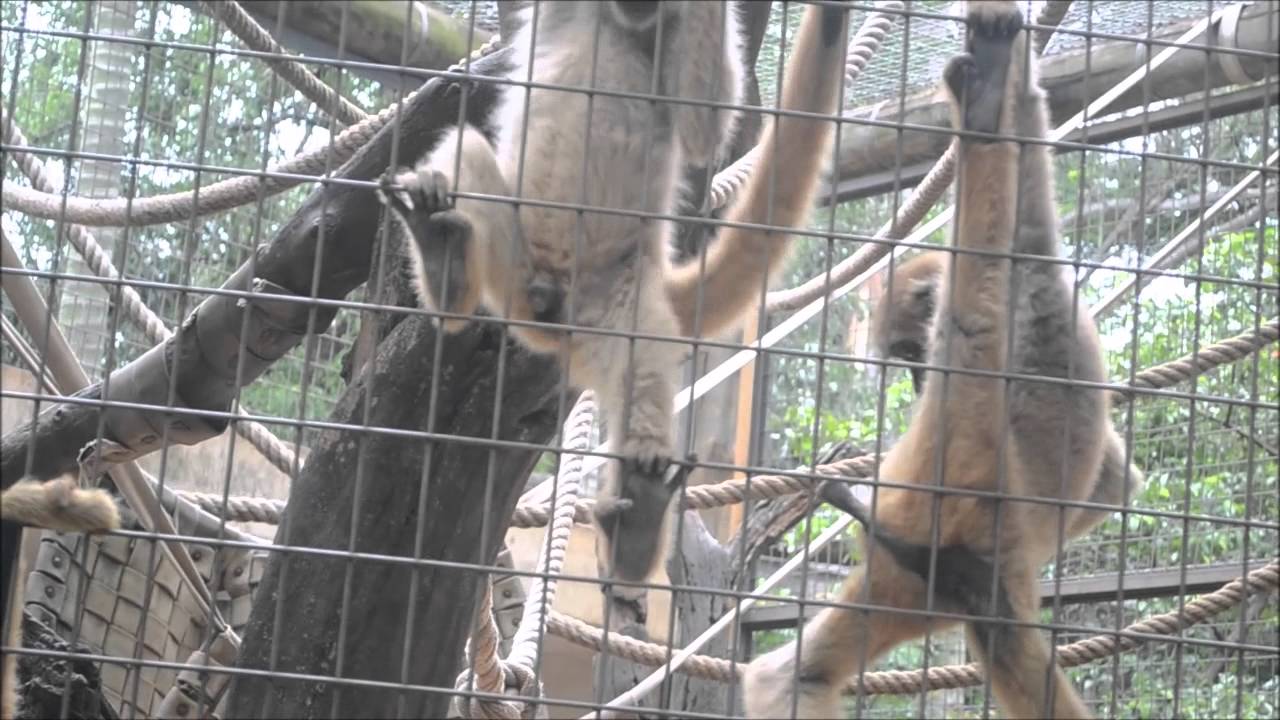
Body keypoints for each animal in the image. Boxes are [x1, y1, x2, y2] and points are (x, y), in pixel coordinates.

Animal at [379, 1, 850, 583]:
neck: (623, 28)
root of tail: (547, 307)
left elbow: (704, 128)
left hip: (620, 294)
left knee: (640, 361)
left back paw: (638, 526)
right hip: (508, 258)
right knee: (465, 147)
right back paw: (444, 265)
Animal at [744, 3, 1139, 718]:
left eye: (909, 355)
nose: (917, 377)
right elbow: (1114, 485)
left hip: (955, 483)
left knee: (971, 320)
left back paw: (981, 109)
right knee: (791, 676)